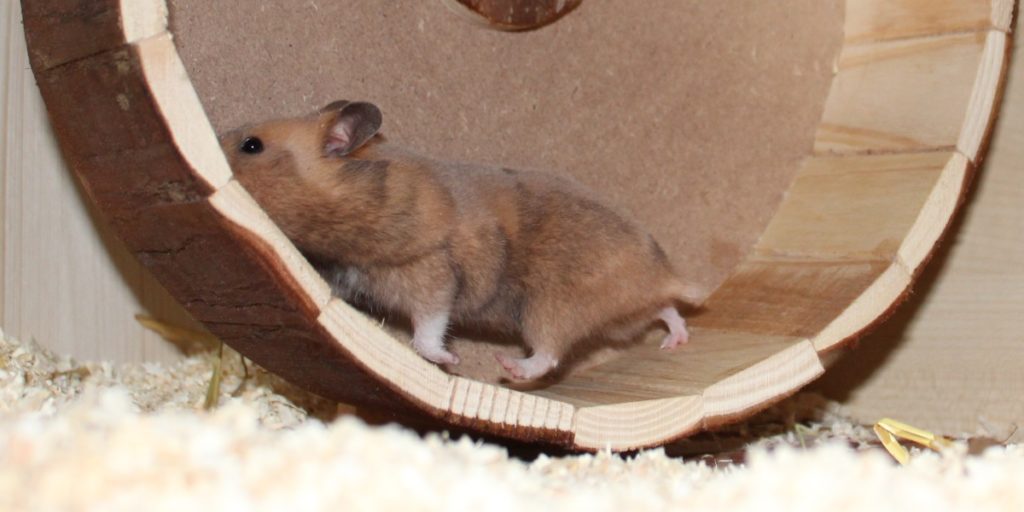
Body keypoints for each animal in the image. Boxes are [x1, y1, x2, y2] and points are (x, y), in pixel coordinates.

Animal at [219, 100, 705, 382]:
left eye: (251, 146)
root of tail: (666, 274)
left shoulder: (430, 274)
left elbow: (428, 331)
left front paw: (449, 361)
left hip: (551, 309)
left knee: (548, 355)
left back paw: (509, 368)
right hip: (622, 316)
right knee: (665, 309)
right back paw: (675, 340)